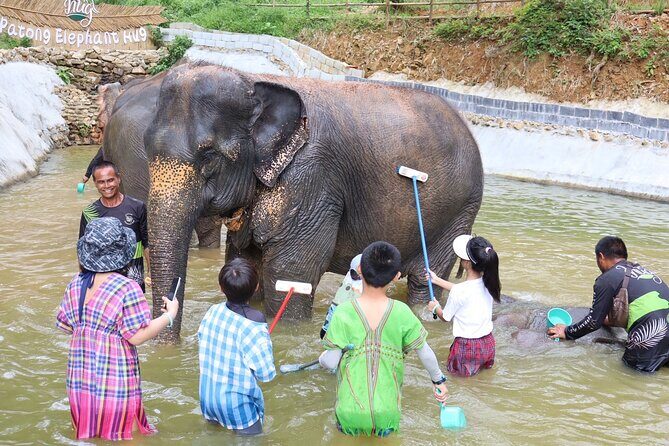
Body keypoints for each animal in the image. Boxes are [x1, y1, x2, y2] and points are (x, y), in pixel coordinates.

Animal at [106, 63, 484, 341]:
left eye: (209, 157)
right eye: (148, 150)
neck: (255, 82)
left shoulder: (311, 179)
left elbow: (289, 273)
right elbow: (247, 261)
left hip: (460, 208)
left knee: (427, 277)